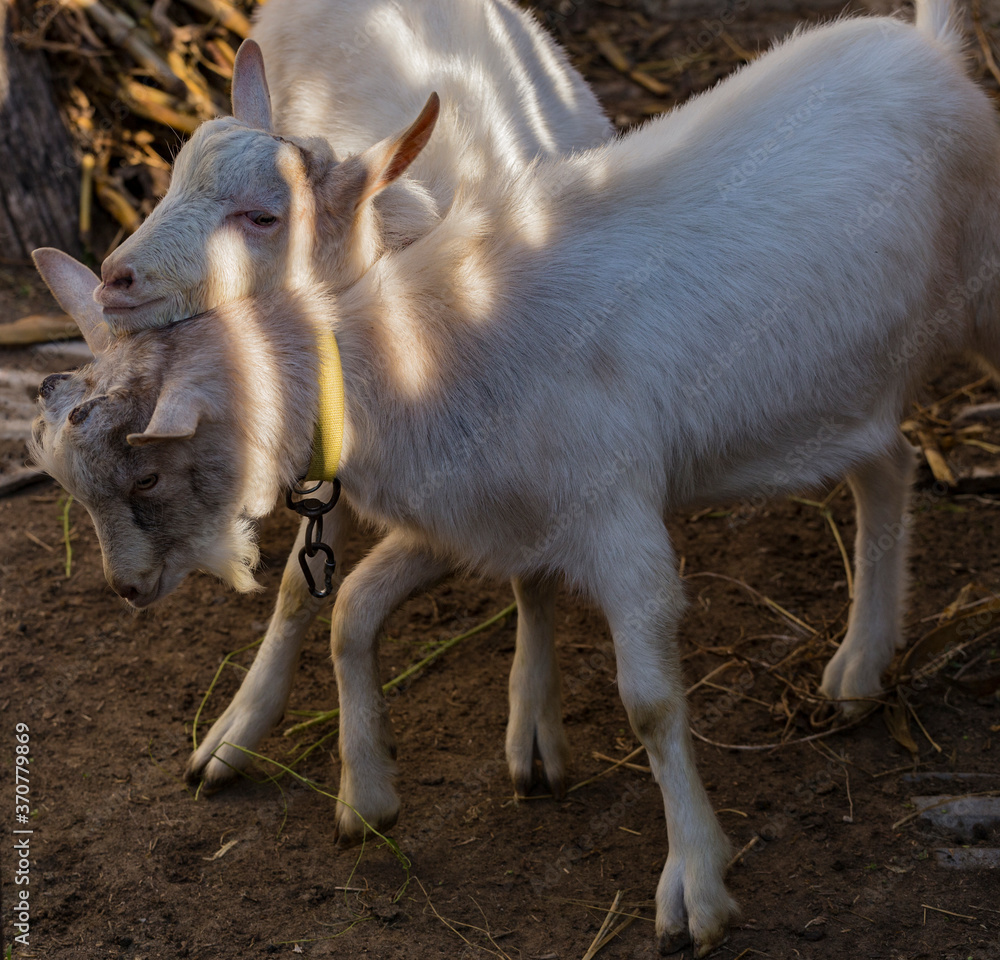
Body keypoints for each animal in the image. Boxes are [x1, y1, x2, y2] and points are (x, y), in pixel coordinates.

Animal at [91, 0, 612, 798]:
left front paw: (521, 726)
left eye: (263, 217)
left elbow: (505, 569)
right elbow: (297, 588)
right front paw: (236, 731)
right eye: (174, 179)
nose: (113, 277)